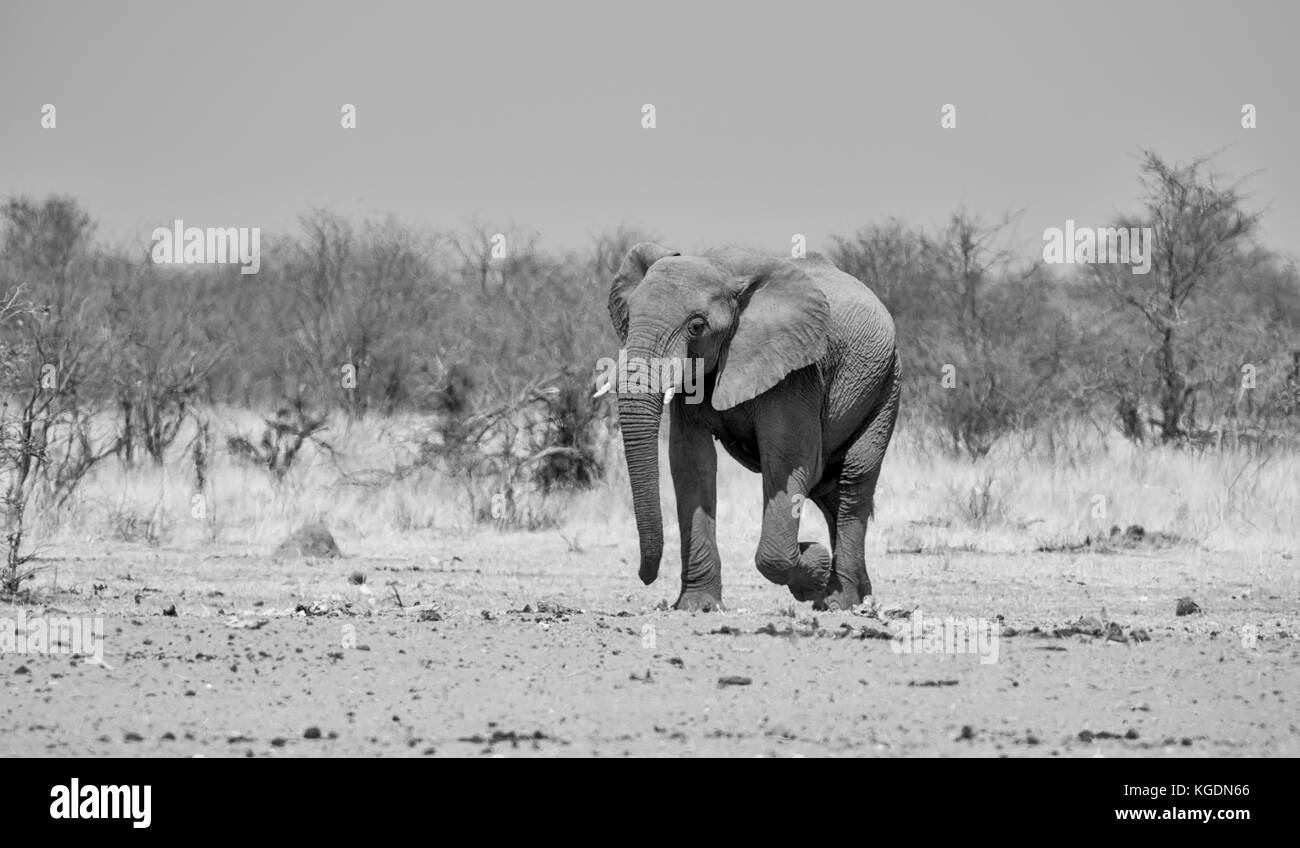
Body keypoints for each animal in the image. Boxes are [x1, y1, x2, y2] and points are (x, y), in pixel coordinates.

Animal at [606, 243, 900, 611]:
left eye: (696, 327)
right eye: (629, 319)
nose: (646, 577)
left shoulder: (795, 372)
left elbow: (789, 462)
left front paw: (814, 566)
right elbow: (691, 463)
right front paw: (698, 606)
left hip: (887, 382)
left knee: (854, 479)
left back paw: (838, 600)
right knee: (830, 492)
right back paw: (857, 596)